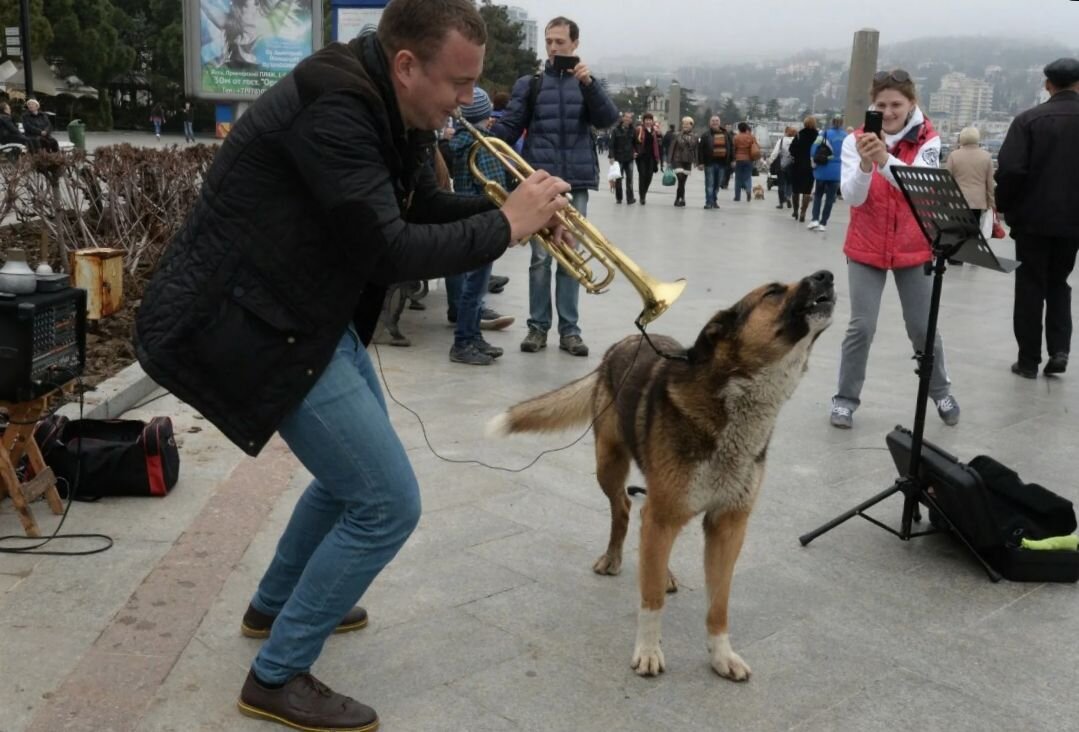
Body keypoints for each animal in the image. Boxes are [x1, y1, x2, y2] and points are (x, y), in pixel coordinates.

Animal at [489, 272, 832, 686]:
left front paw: (721, 655)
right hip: (609, 465)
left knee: (643, 522)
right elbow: (650, 599)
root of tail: (622, 344)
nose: (827, 275)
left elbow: (719, 604)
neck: (732, 401)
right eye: (774, 292)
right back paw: (614, 557)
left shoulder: (728, 526)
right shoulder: (666, 515)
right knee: (623, 508)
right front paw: (649, 651)